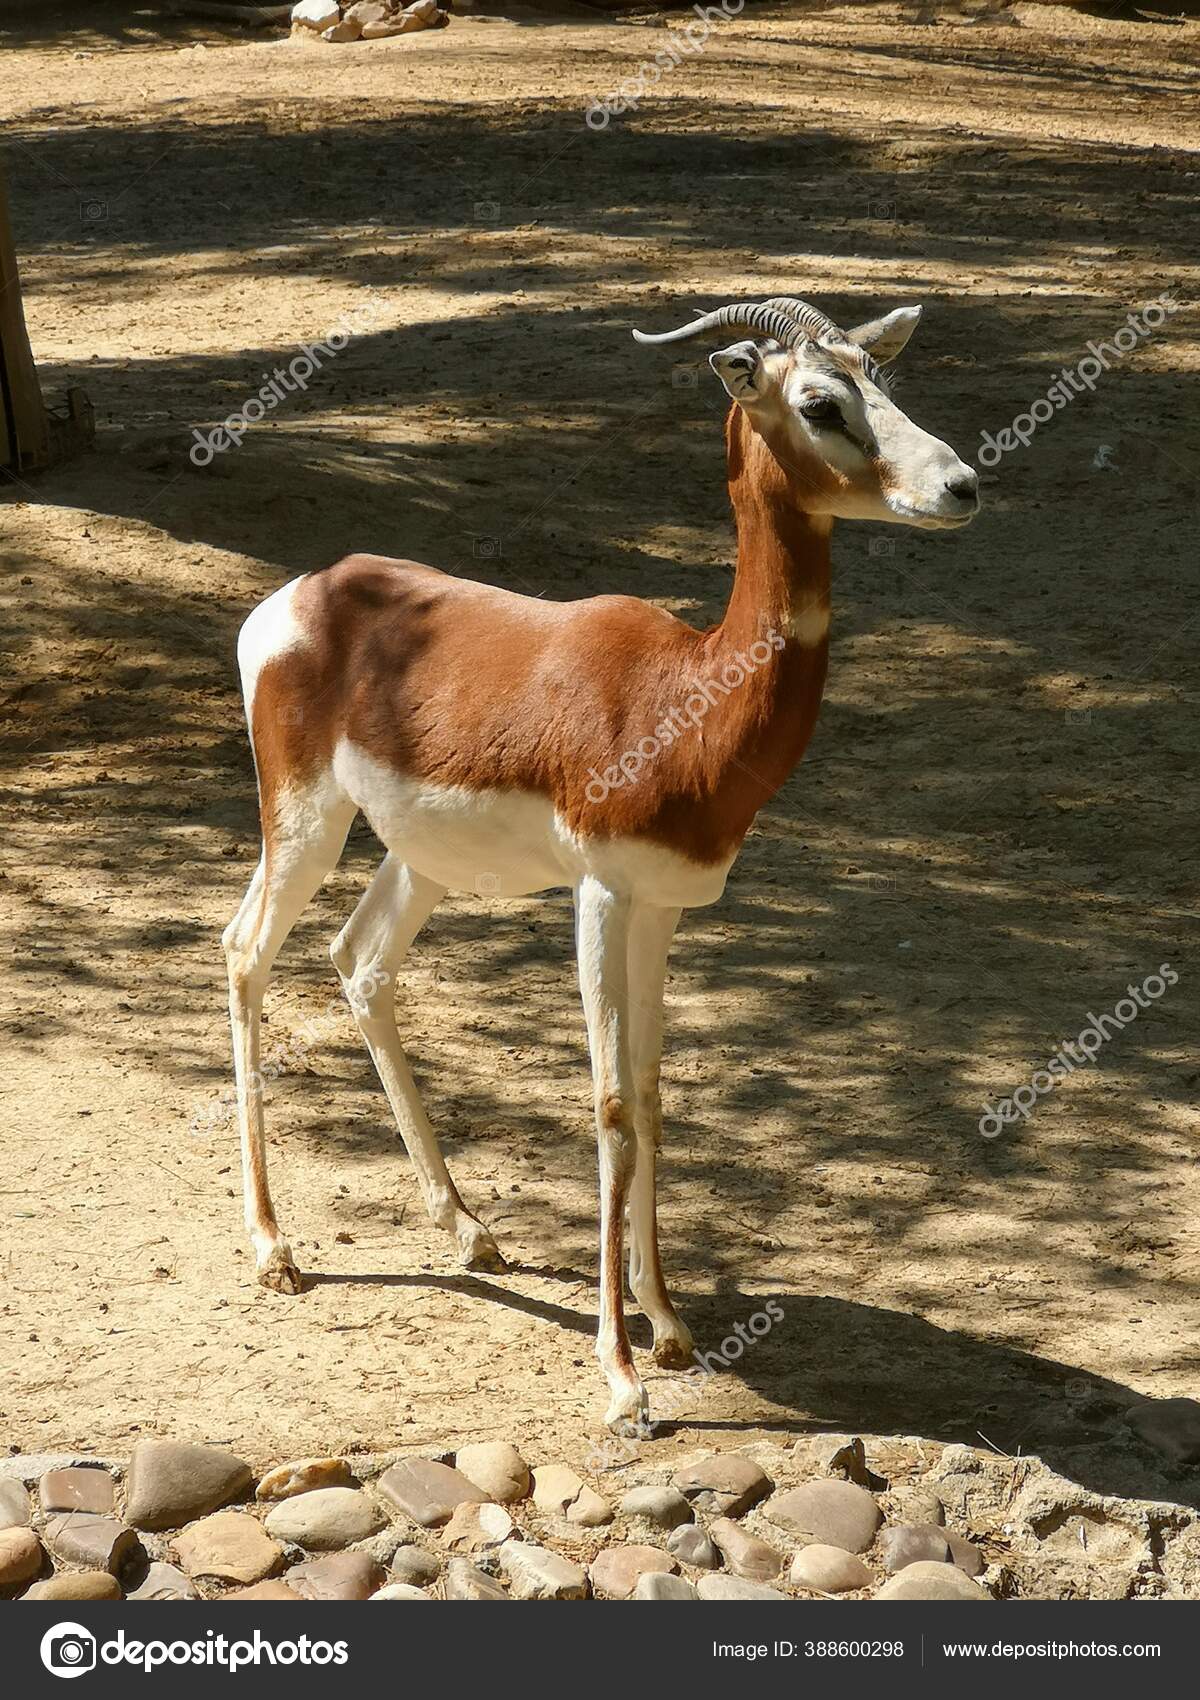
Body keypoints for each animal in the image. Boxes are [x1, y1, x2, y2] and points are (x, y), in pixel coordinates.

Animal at [223, 294, 979, 1433]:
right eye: (819, 400)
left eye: (880, 377)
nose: (961, 484)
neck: (685, 691)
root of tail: (303, 595)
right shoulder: (601, 894)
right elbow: (613, 1106)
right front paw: (621, 1377)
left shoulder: (665, 907)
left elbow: (656, 1096)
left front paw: (668, 1323)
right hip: (304, 819)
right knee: (244, 951)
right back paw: (276, 1249)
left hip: (421, 857)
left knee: (360, 962)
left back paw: (471, 1229)